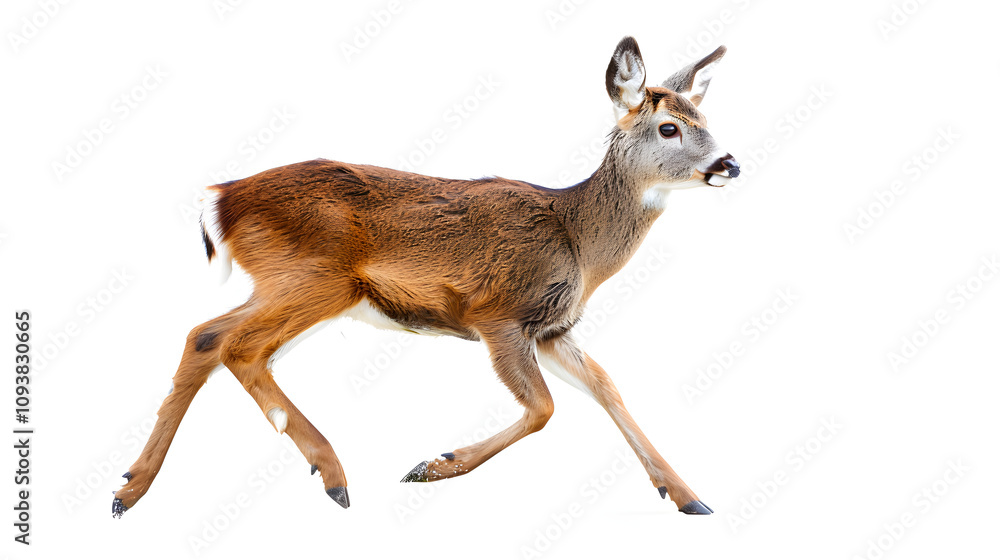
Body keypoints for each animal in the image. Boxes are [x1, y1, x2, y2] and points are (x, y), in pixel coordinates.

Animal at [112, 36, 739, 518]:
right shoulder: (498, 314)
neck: (578, 242)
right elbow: (543, 409)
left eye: (705, 120)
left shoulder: (553, 327)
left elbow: (607, 386)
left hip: (288, 283)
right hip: (318, 278)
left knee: (207, 335)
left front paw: (688, 496)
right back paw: (332, 472)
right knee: (239, 345)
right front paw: (435, 465)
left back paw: (130, 489)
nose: (729, 162)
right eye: (668, 128)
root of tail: (219, 199)